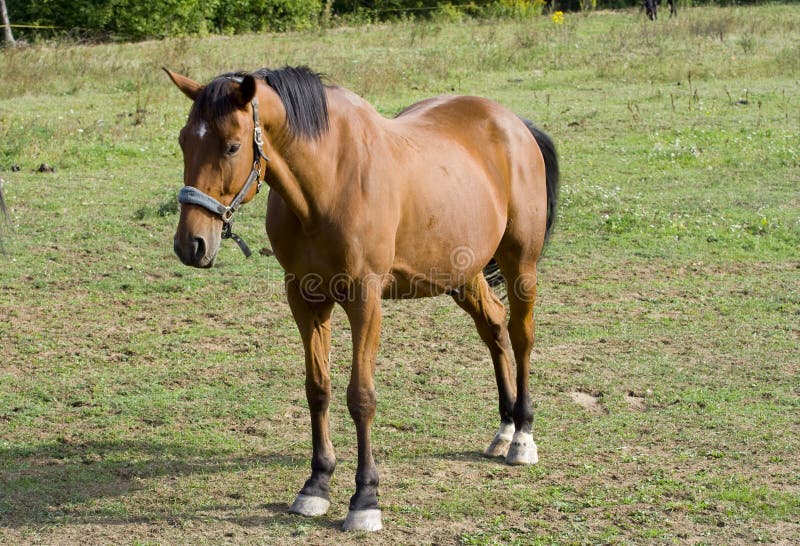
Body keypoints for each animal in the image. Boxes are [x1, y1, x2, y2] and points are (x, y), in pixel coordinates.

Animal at [165, 65, 559, 532]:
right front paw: (316, 485)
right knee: (494, 325)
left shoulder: (364, 300)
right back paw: (504, 429)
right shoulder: (304, 298)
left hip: (521, 265)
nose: (190, 245)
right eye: (184, 141)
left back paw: (523, 436)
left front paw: (365, 498)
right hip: (462, 272)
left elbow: (361, 397)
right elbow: (318, 388)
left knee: (521, 336)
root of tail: (515, 124)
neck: (328, 182)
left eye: (232, 146)